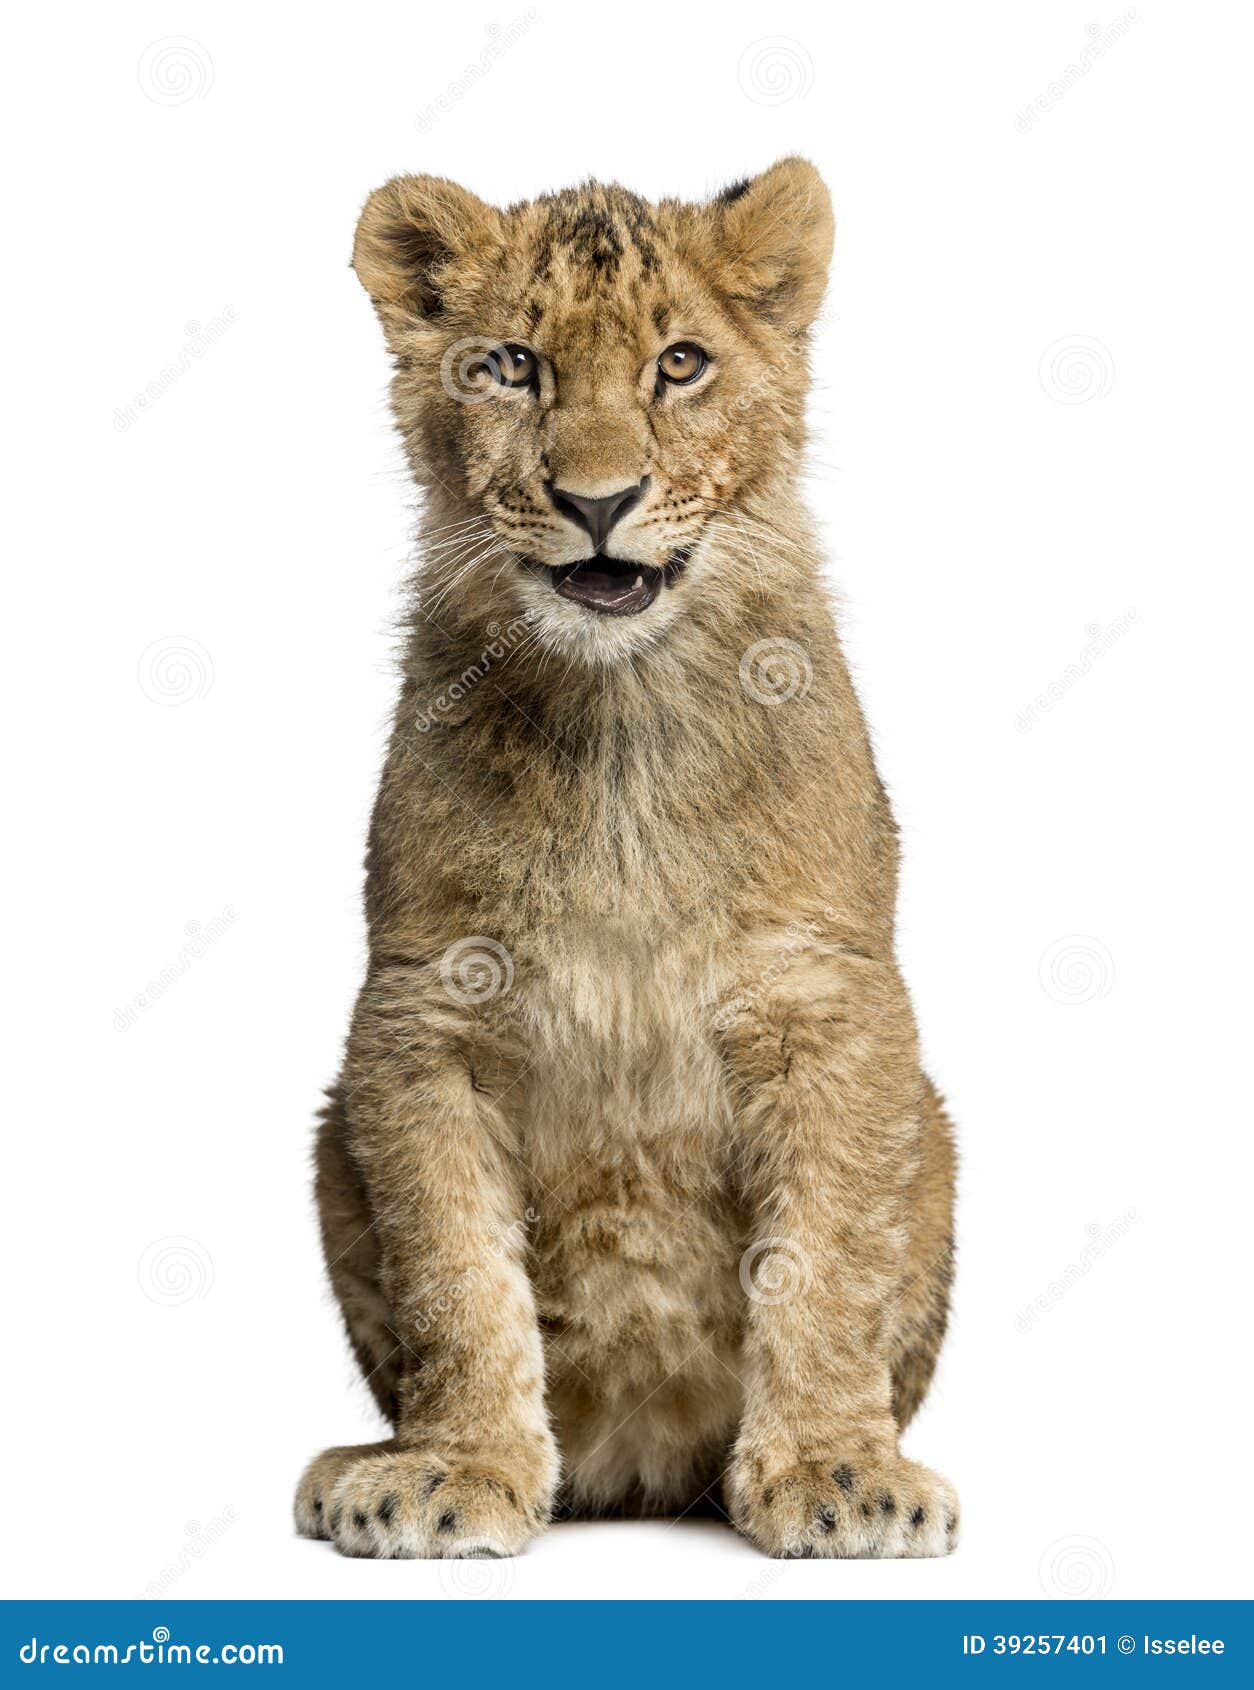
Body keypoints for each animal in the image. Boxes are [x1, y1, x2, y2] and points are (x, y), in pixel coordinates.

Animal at [295, 159, 958, 1560]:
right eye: (511, 367)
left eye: (680, 363)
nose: (595, 502)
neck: (620, 717)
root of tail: (642, 1477)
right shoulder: (424, 1011)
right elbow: (453, 1273)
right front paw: (455, 1467)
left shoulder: (829, 1000)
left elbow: (825, 1258)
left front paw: (835, 1471)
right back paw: (364, 1458)